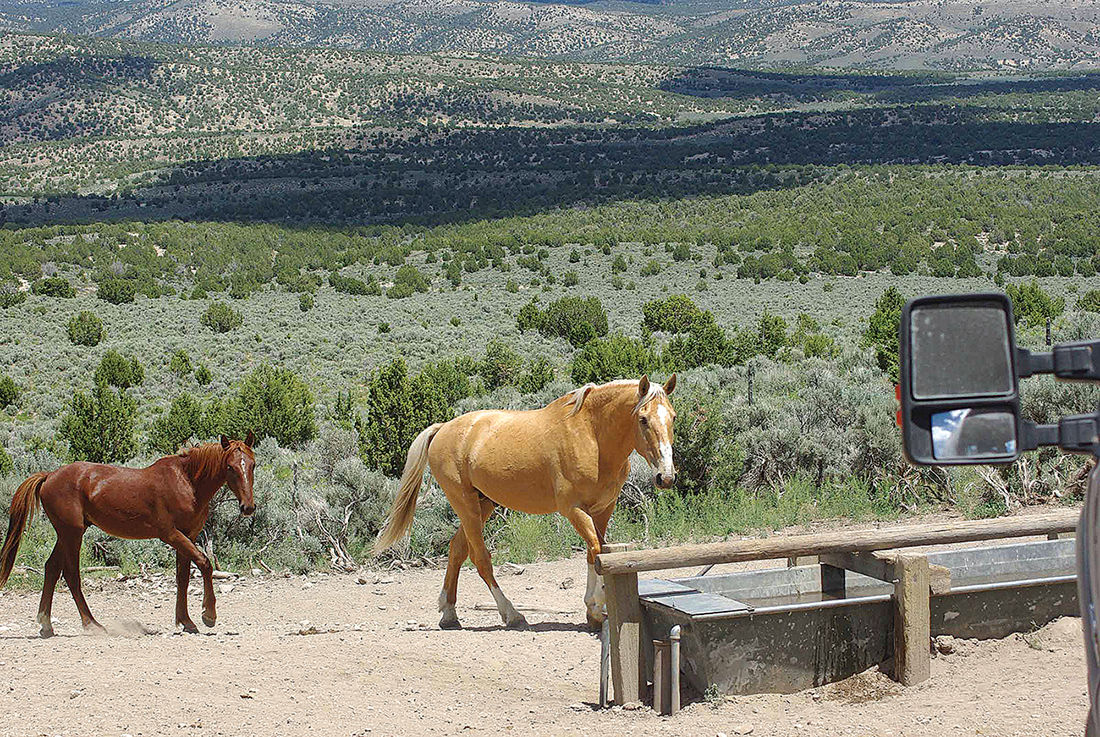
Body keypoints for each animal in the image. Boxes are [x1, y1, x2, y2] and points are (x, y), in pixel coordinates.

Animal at [0, 433, 256, 637]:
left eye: (252, 465)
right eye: (230, 467)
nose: (248, 507)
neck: (187, 482)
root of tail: (50, 476)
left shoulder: (188, 536)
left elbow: (182, 577)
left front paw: (186, 621)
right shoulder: (171, 535)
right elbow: (204, 563)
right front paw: (208, 615)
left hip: (66, 534)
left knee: (52, 568)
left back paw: (46, 624)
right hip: (72, 534)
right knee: (70, 574)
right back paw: (92, 624)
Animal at [374, 374, 677, 630]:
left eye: (672, 417)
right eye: (643, 419)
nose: (666, 477)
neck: (592, 436)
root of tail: (443, 428)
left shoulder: (603, 509)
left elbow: (599, 552)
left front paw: (597, 611)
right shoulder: (574, 510)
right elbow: (594, 549)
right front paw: (593, 608)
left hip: (483, 504)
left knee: (457, 550)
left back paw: (449, 613)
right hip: (465, 503)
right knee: (480, 559)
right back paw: (511, 614)